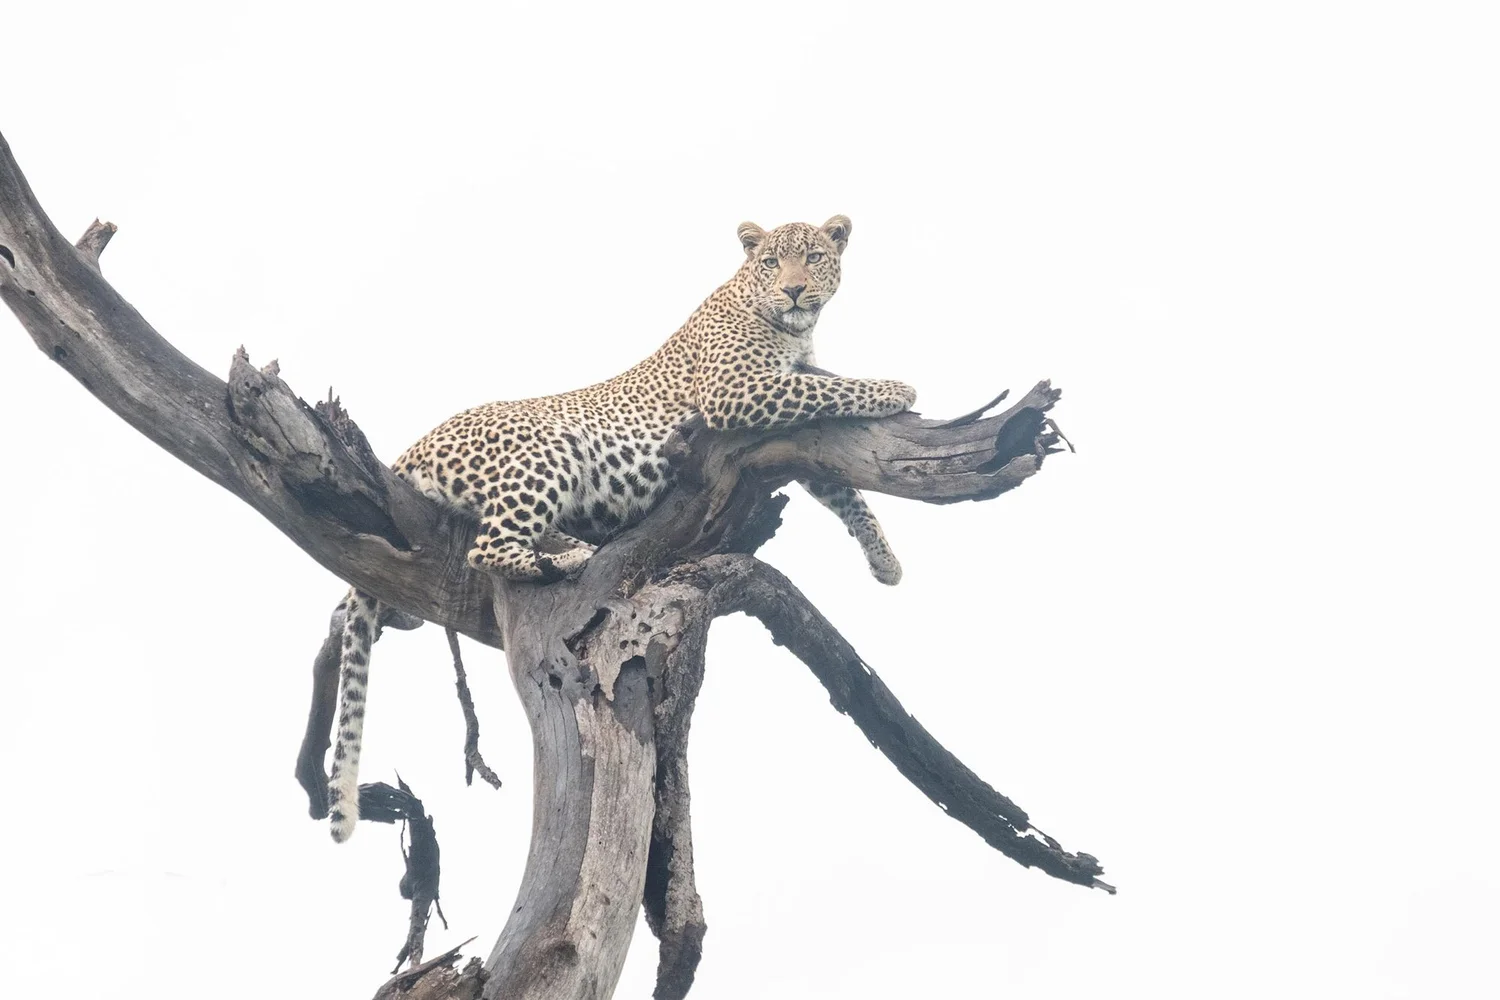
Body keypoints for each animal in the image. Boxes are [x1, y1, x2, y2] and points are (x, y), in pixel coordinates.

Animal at [327, 215, 917, 842]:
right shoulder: (737, 390)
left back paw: (574, 544)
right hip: (549, 450)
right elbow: (827, 389)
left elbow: (842, 488)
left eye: (813, 257)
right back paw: (569, 558)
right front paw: (894, 388)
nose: (796, 290)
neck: (784, 326)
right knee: (487, 547)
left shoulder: (785, 435)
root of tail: (415, 445)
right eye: (771, 264)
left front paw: (884, 559)